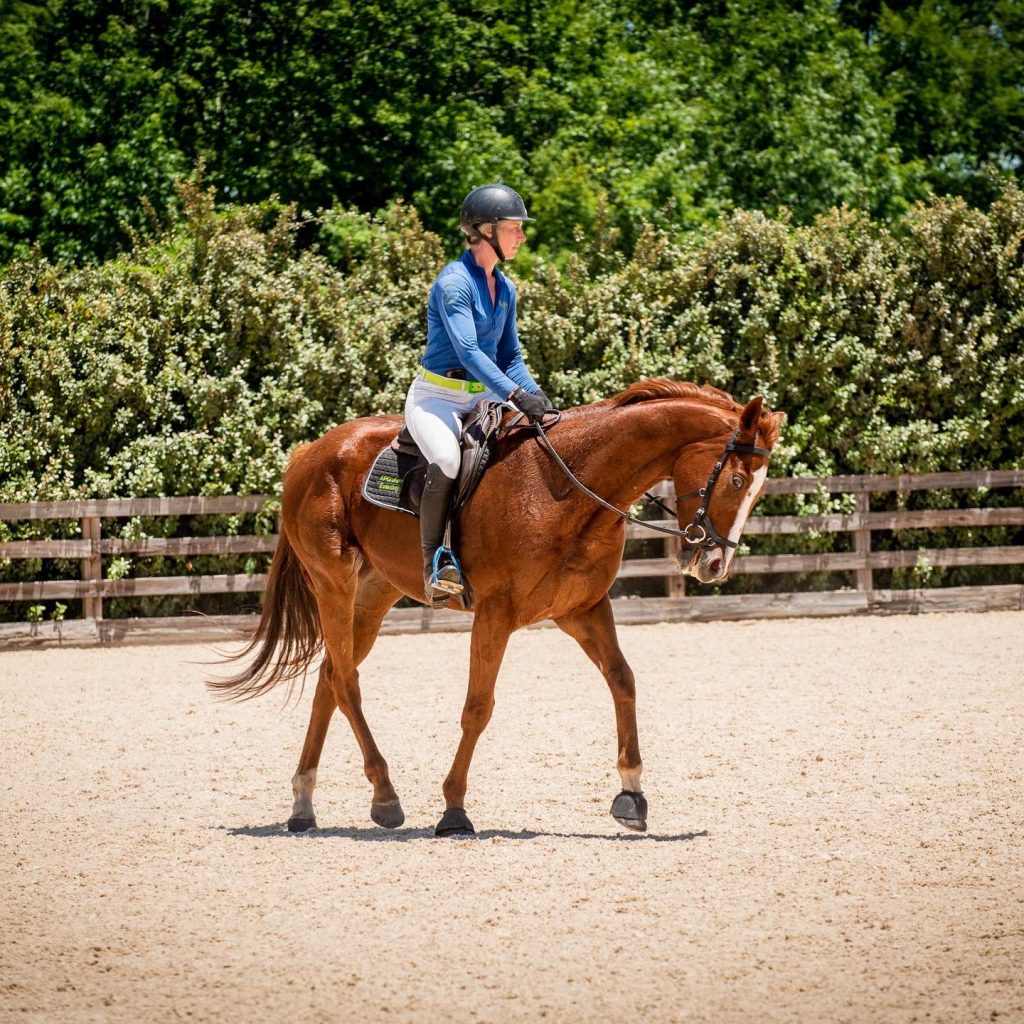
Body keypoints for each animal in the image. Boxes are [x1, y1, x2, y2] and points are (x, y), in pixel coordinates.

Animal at [211, 379, 785, 836]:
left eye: (757, 491)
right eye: (736, 480)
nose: (714, 563)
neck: (568, 485)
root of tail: (309, 454)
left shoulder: (583, 609)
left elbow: (623, 682)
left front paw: (631, 793)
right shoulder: (495, 614)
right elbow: (477, 708)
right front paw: (453, 811)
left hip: (373, 596)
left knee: (331, 677)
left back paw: (304, 805)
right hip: (334, 583)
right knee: (347, 682)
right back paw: (385, 797)